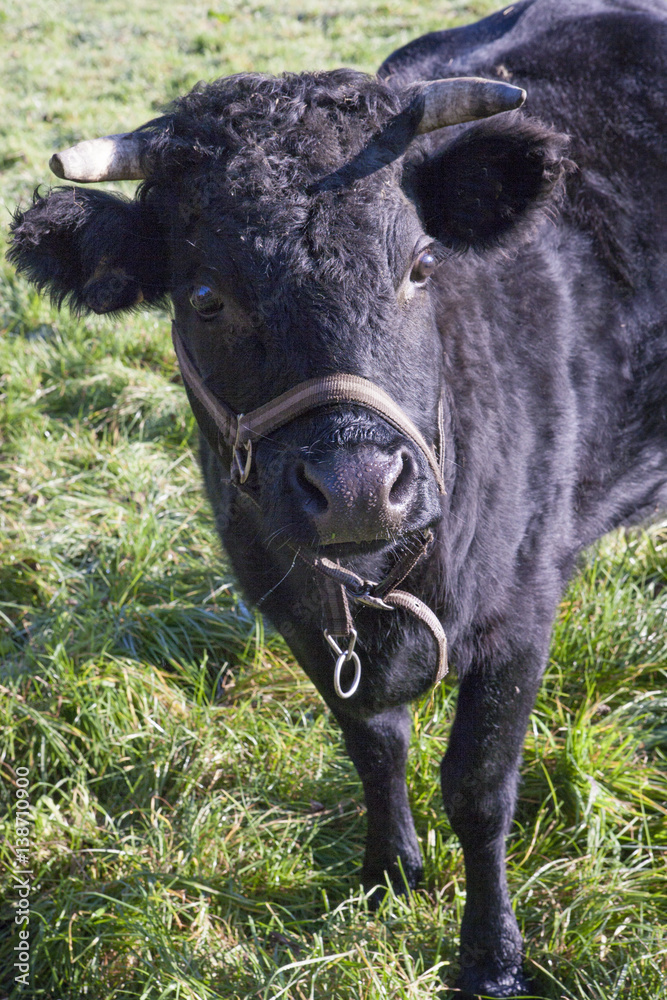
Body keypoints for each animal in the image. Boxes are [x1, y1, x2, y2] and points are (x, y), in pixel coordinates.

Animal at [7, 0, 667, 995]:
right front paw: (389, 874)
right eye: (205, 295)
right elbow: (371, 742)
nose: (357, 487)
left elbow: (478, 788)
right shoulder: (291, 607)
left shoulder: (521, 608)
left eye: (422, 266)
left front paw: (490, 957)